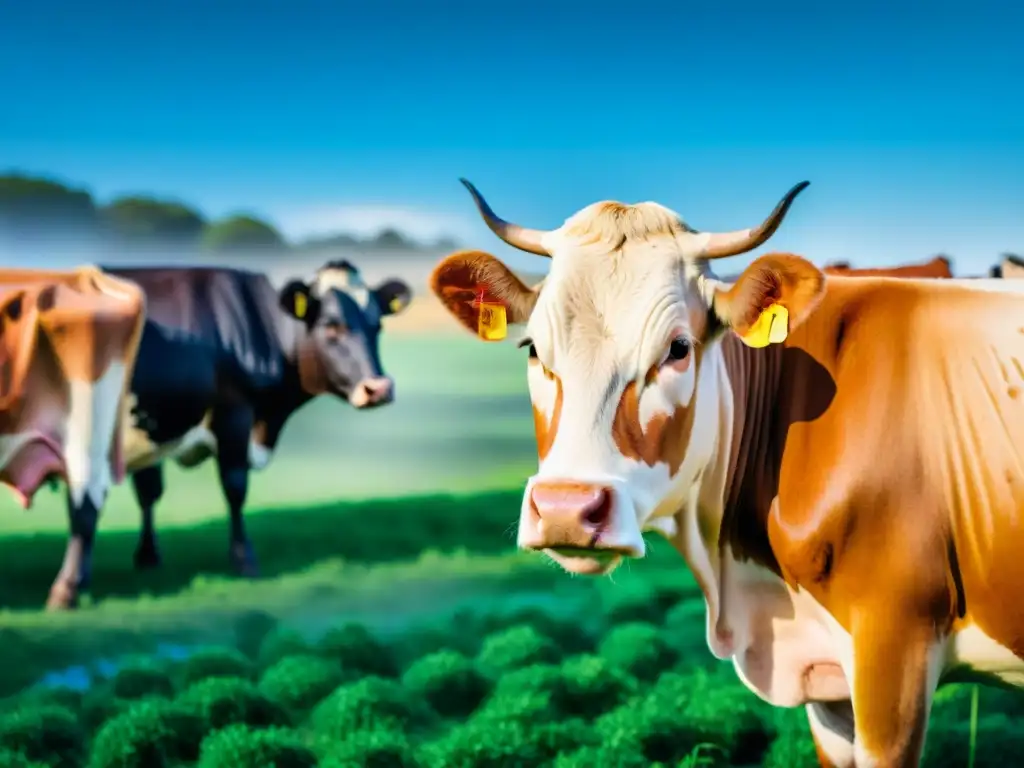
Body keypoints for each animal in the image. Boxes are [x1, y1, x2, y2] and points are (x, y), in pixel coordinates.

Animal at [49, 259, 411, 609]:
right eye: (332, 326)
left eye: (377, 325)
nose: (378, 388)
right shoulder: (234, 414)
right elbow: (235, 487)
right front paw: (244, 560)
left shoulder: (155, 423)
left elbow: (149, 491)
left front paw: (148, 556)